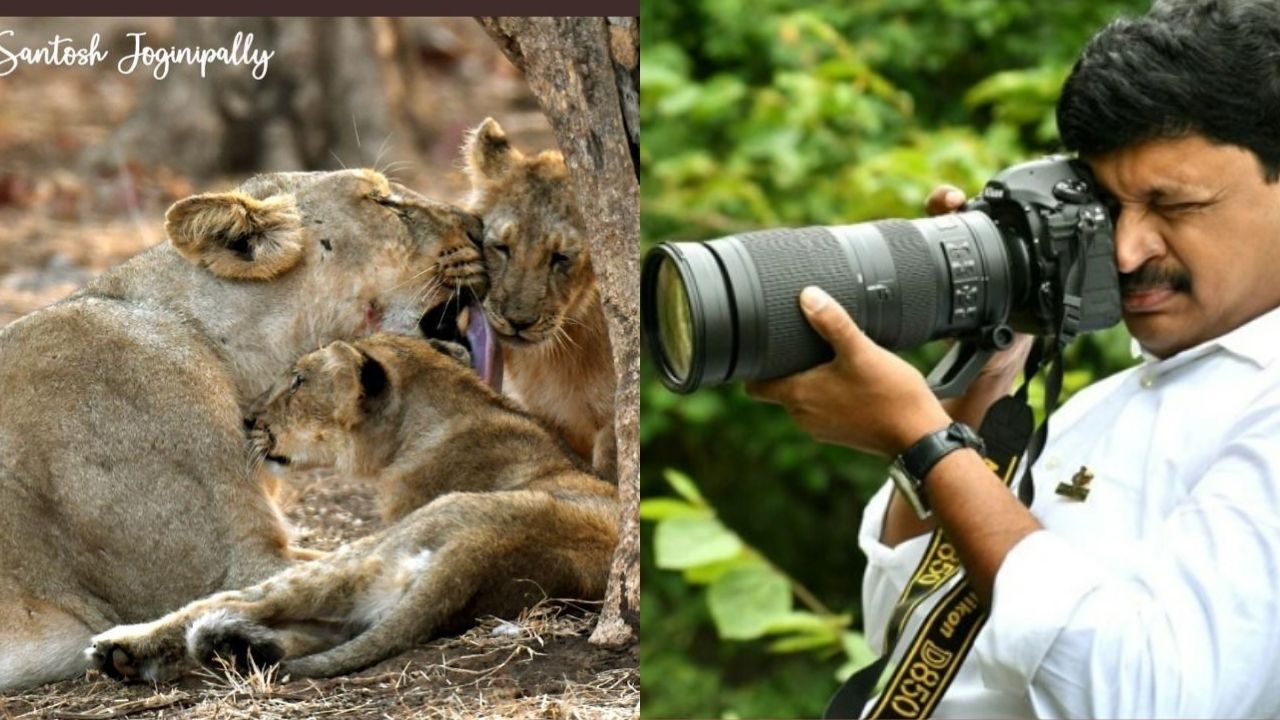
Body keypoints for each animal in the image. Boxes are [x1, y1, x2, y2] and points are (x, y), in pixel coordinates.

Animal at [85, 332, 619, 681]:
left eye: (298, 381)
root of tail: (481, 550)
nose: (248, 419)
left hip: (375, 549)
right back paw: (235, 648)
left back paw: (124, 647)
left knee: (235, 601)